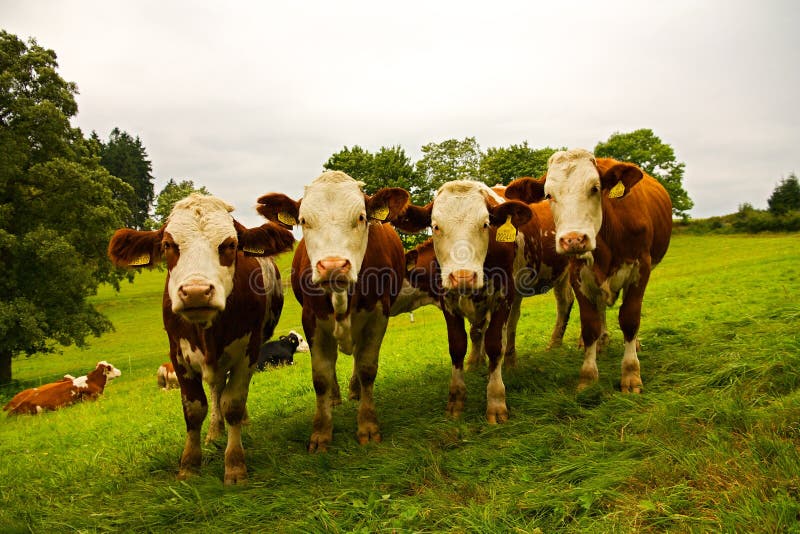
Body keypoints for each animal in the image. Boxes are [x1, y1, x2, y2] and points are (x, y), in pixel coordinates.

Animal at [108, 193, 294, 484]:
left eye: (230, 245)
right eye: (168, 245)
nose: (196, 292)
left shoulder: (249, 351)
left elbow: (234, 403)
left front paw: (235, 464)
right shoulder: (178, 354)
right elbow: (195, 409)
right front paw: (189, 464)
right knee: (216, 388)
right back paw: (215, 431)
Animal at [256, 171, 409, 452]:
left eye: (361, 217)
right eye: (303, 220)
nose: (333, 266)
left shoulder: (377, 316)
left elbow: (367, 368)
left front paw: (368, 426)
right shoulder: (312, 320)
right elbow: (321, 377)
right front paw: (321, 433)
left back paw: (355, 390)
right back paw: (336, 397)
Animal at [505, 149, 672, 393]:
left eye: (595, 188)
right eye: (548, 195)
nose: (573, 239)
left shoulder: (640, 268)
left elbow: (630, 318)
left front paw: (631, 374)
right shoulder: (579, 274)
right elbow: (590, 324)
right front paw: (588, 376)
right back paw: (601, 342)